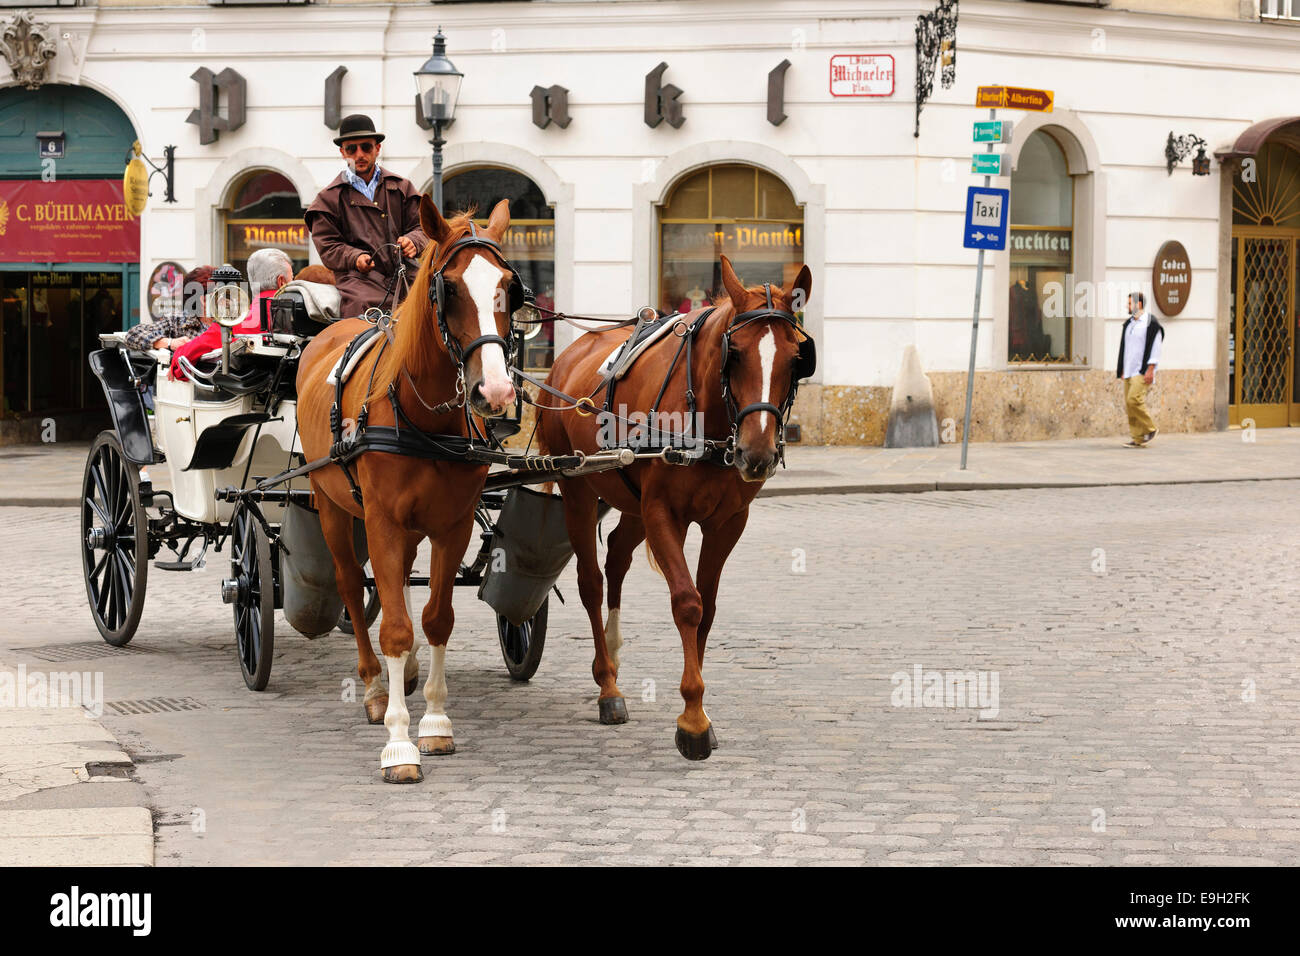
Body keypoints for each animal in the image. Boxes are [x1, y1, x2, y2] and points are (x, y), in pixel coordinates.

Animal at [295, 197, 519, 783]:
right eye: (451, 289)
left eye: (508, 287)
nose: (495, 392)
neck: (425, 417)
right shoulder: (382, 521)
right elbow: (392, 625)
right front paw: (399, 743)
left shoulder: (453, 524)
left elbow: (437, 618)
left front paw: (436, 721)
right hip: (333, 507)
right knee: (352, 586)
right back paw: (375, 685)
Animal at [537, 255, 814, 759]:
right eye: (735, 353)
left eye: (794, 358)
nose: (757, 454)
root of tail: (568, 354)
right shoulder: (664, 513)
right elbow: (687, 603)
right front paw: (693, 722)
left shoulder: (727, 523)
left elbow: (709, 607)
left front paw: (697, 705)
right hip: (579, 490)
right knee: (591, 581)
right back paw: (607, 686)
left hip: (630, 500)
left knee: (617, 556)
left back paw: (613, 652)